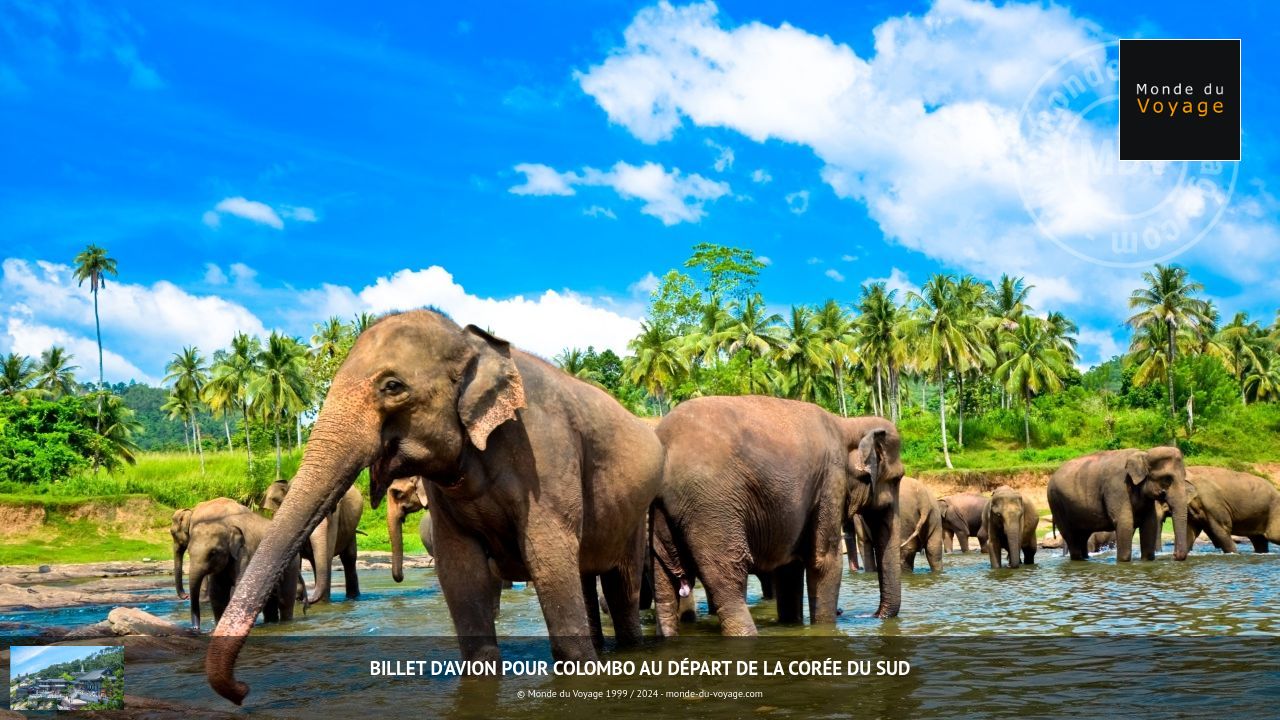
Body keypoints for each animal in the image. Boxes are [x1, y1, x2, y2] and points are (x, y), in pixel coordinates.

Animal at [204, 308, 665, 702]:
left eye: (392, 387)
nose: (242, 691)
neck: (472, 342)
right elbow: (461, 571)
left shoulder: (547, 456)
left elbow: (548, 558)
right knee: (585, 579)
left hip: (635, 512)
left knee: (621, 588)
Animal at [650, 394, 901, 635]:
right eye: (897, 479)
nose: (870, 615)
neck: (847, 424)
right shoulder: (830, 481)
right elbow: (824, 561)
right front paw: (824, 629)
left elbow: (789, 567)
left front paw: (792, 624)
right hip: (712, 507)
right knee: (728, 579)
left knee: (664, 585)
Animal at [1049, 443, 1187, 561]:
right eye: (1167, 479)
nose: (1174, 555)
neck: (1143, 454)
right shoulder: (1117, 487)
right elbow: (1125, 522)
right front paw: (1123, 561)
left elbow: (1150, 523)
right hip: (1056, 503)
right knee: (1071, 536)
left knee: (1083, 536)